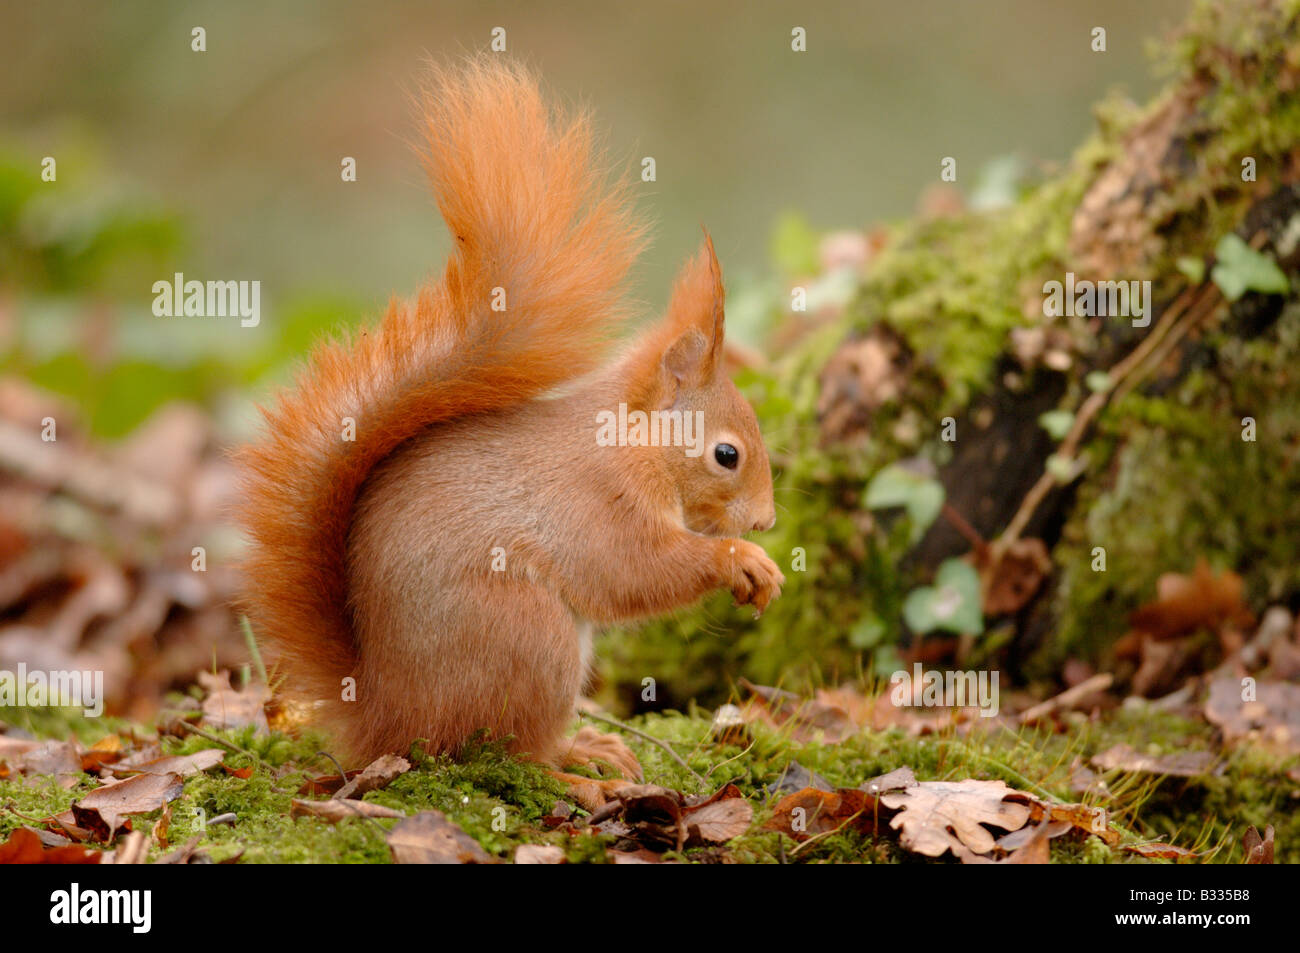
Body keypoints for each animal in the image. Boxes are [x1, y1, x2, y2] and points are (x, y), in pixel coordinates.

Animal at [235, 57, 783, 799]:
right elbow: (634, 571)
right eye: (727, 454)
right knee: (501, 751)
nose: (764, 521)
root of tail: (386, 719)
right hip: (527, 635)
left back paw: (588, 750)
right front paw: (741, 561)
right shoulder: (597, 500)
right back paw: (574, 773)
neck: (631, 442)